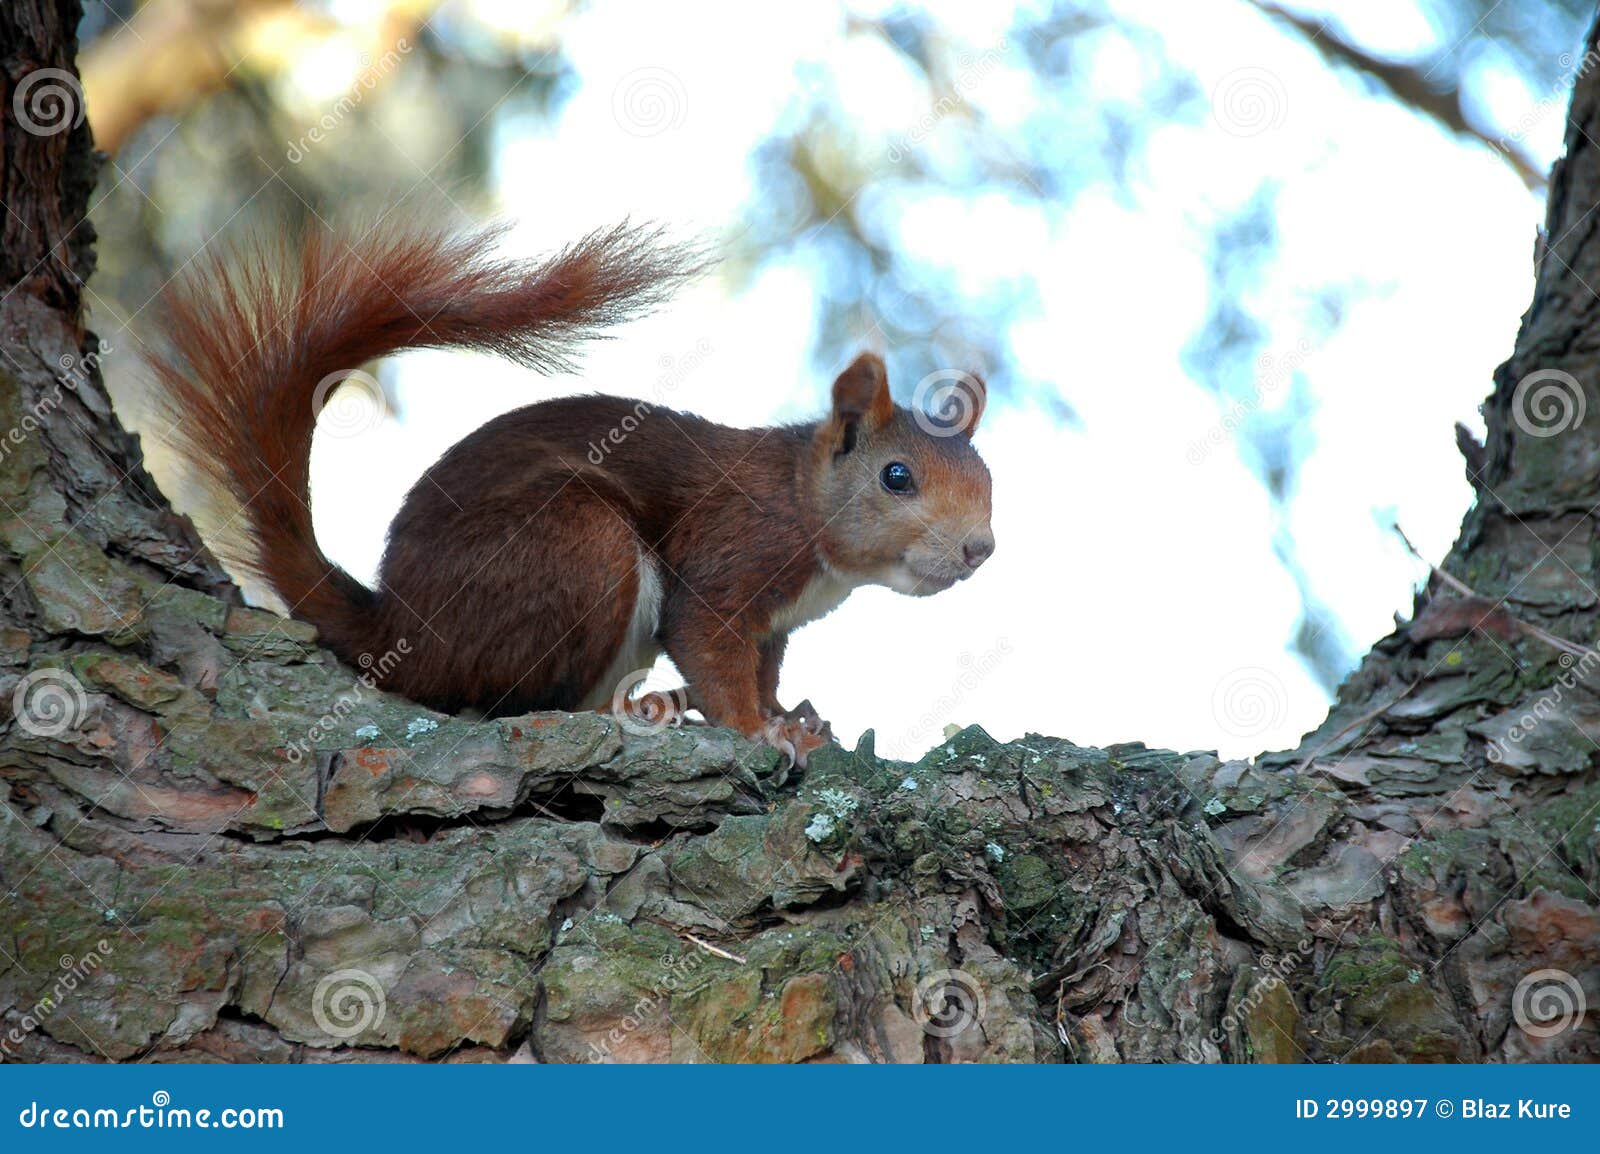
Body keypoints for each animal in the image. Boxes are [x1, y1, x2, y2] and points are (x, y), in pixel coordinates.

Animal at [147, 223, 995, 765]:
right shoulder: (731, 554)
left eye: (989, 480)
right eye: (896, 477)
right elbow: (709, 651)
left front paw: (793, 716)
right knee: (518, 700)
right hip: (579, 545)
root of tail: (401, 626)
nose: (980, 548)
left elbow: (765, 670)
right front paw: (762, 732)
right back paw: (635, 708)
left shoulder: (777, 627)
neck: (806, 507)